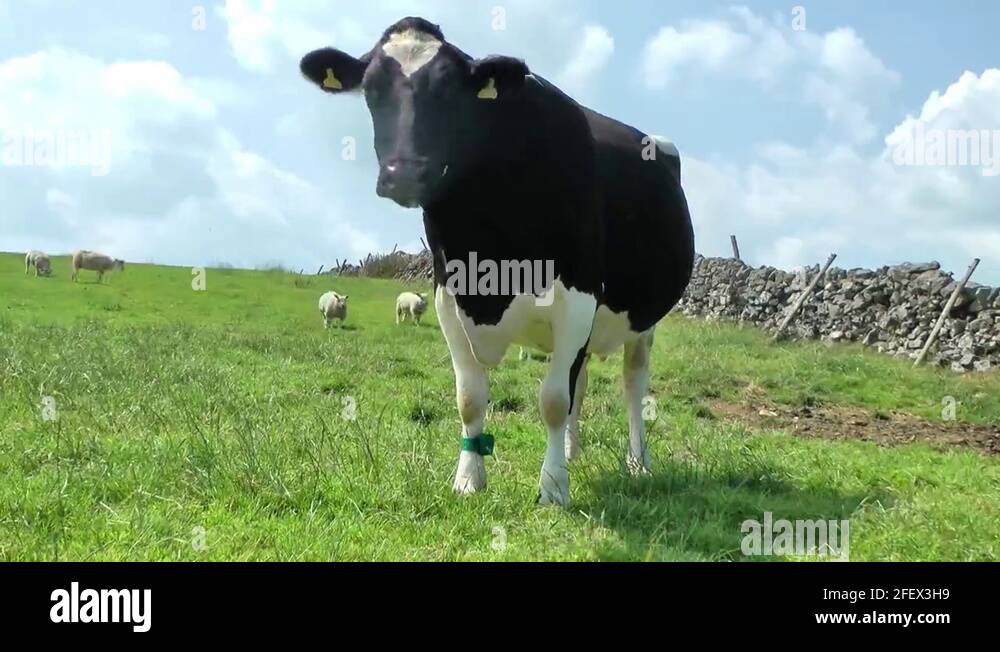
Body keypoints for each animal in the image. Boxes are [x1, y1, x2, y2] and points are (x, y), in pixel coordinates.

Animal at [300, 17, 694, 506]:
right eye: (371, 90)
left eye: (450, 92)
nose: (403, 172)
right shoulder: (448, 299)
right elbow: (470, 397)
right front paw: (469, 478)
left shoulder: (578, 298)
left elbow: (552, 400)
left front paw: (553, 488)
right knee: (581, 381)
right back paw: (573, 450)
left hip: (643, 321)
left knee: (632, 387)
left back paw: (638, 463)